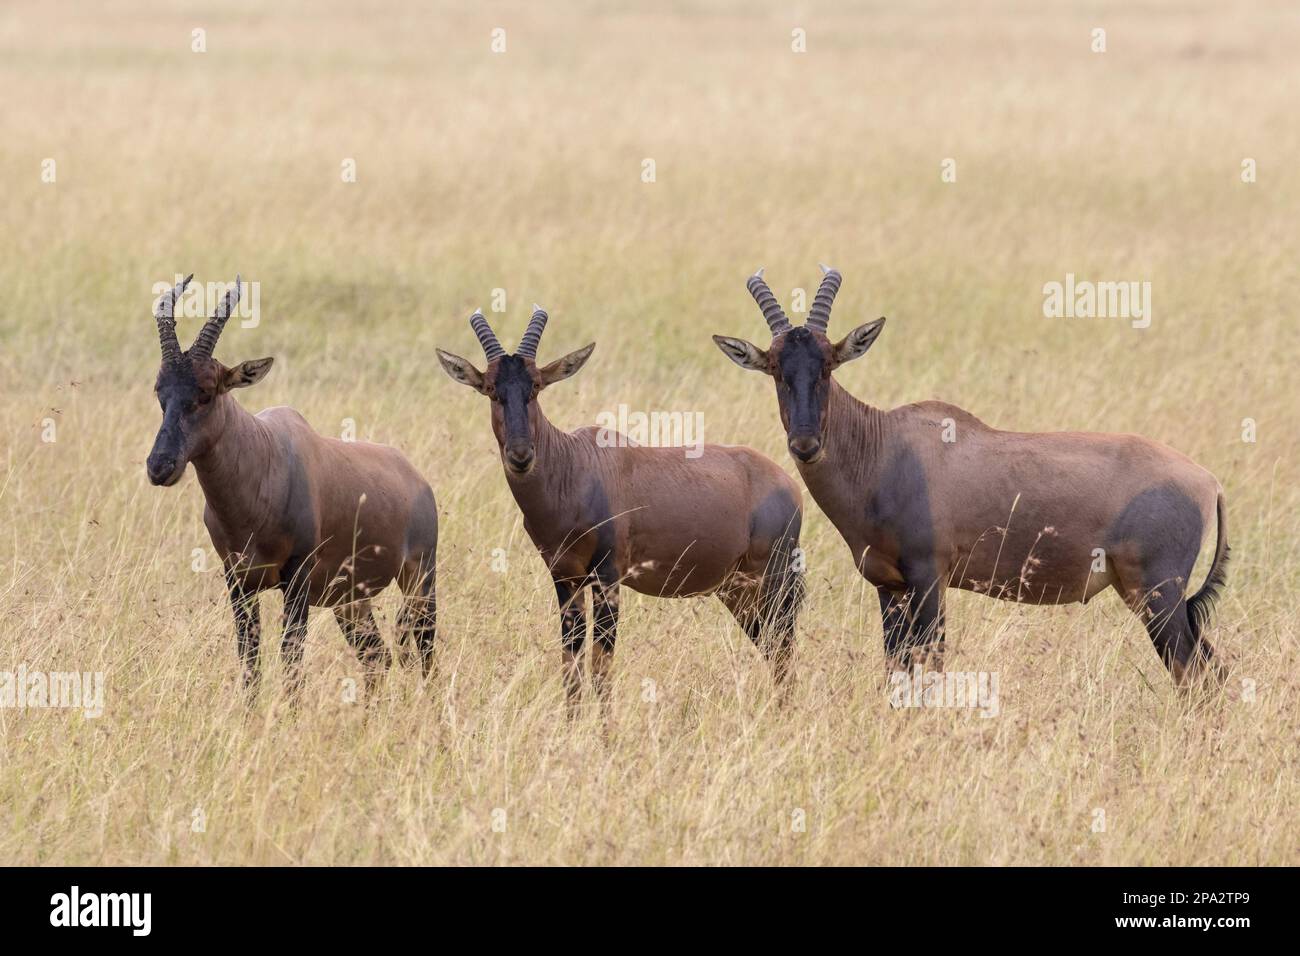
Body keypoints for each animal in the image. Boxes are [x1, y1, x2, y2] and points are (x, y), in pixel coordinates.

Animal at [146, 275, 439, 703]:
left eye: (206, 392)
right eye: (159, 391)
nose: (159, 466)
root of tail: (417, 478)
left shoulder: (296, 578)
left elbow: (290, 656)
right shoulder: (238, 581)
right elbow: (249, 658)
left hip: (420, 580)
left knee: (425, 650)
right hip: (350, 601)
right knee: (377, 658)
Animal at [436, 306, 804, 709]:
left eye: (535, 386)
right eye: (490, 389)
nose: (521, 456)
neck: (573, 465)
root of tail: (789, 485)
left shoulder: (608, 577)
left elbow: (602, 662)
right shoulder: (564, 578)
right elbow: (571, 660)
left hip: (773, 581)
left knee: (784, 649)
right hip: (738, 592)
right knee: (772, 649)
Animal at [714, 267, 1229, 687]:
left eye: (828, 364)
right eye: (775, 368)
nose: (805, 445)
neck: (884, 446)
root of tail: (1208, 481)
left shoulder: (930, 578)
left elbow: (932, 665)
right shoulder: (888, 586)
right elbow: (896, 668)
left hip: (1159, 593)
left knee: (1199, 671)